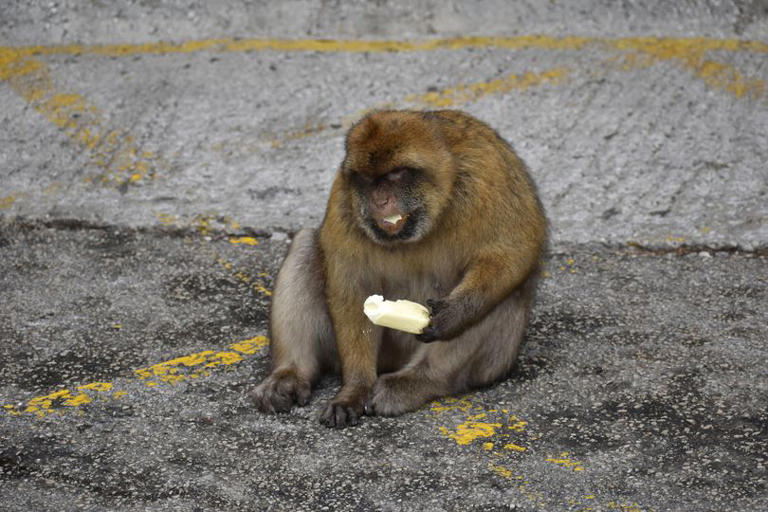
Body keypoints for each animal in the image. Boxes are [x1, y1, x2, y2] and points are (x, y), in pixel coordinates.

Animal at [251, 109, 547, 428]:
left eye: (395, 175)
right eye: (368, 180)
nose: (379, 201)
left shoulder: (489, 175)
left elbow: (512, 251)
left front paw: (453, 314)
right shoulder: (344, 199)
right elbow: (354, 289)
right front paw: (355, 388)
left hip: (496, 360)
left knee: (504, 291)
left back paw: (418, 381)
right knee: (305, 243)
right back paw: (290, 374)